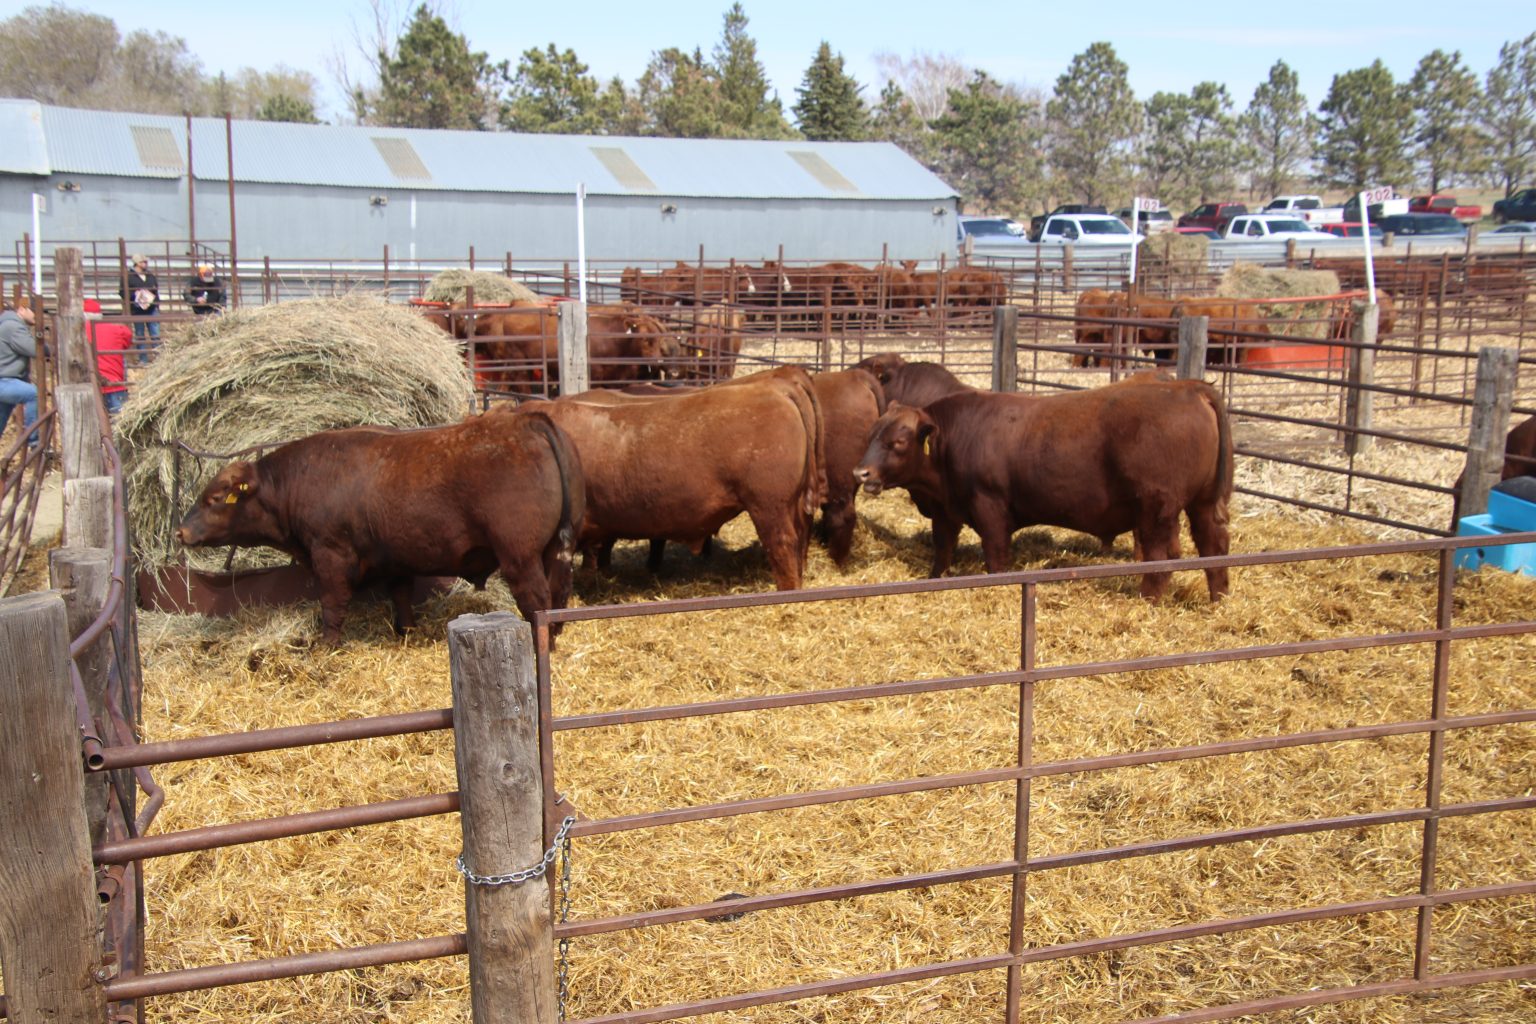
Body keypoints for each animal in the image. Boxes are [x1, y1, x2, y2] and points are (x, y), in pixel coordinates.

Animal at [174, 409, 585, 645]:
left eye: (214, 498)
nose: (181, 532)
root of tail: (525, 422)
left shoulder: (331, 554)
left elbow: (332, 602)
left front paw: (325, 646)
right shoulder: (396, 557)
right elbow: (400, 596)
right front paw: (405, 631)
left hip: (519, 555)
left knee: (537, 598)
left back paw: (543, 641)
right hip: (553, 548)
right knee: (558, 591)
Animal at [854, 378, 1233, 601]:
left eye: (898, 441)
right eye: (872, 433)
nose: (861, 472)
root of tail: (1188, 387)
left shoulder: (990, 508)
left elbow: (996, 557)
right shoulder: (947, 510)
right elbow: (942, 550)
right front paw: (935, 580)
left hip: (1157, 511)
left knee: (1160, 560)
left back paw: (1148, 600)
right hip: (1203, 503)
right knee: (1214, 547)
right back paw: (1218, 598)